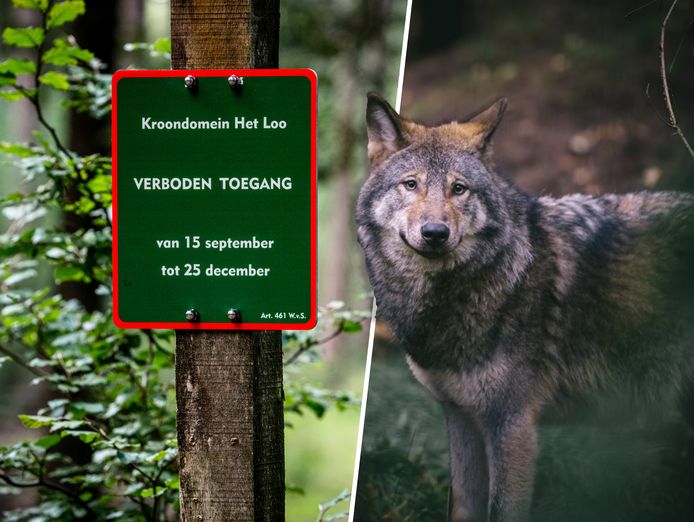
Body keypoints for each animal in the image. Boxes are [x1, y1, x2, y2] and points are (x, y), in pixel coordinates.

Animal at [356, 92, 694, 522]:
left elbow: (502, 510)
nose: (435, 233)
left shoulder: (513, 424)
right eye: (411, 184)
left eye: (459, 188)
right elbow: (463, 507)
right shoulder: (461, 416)